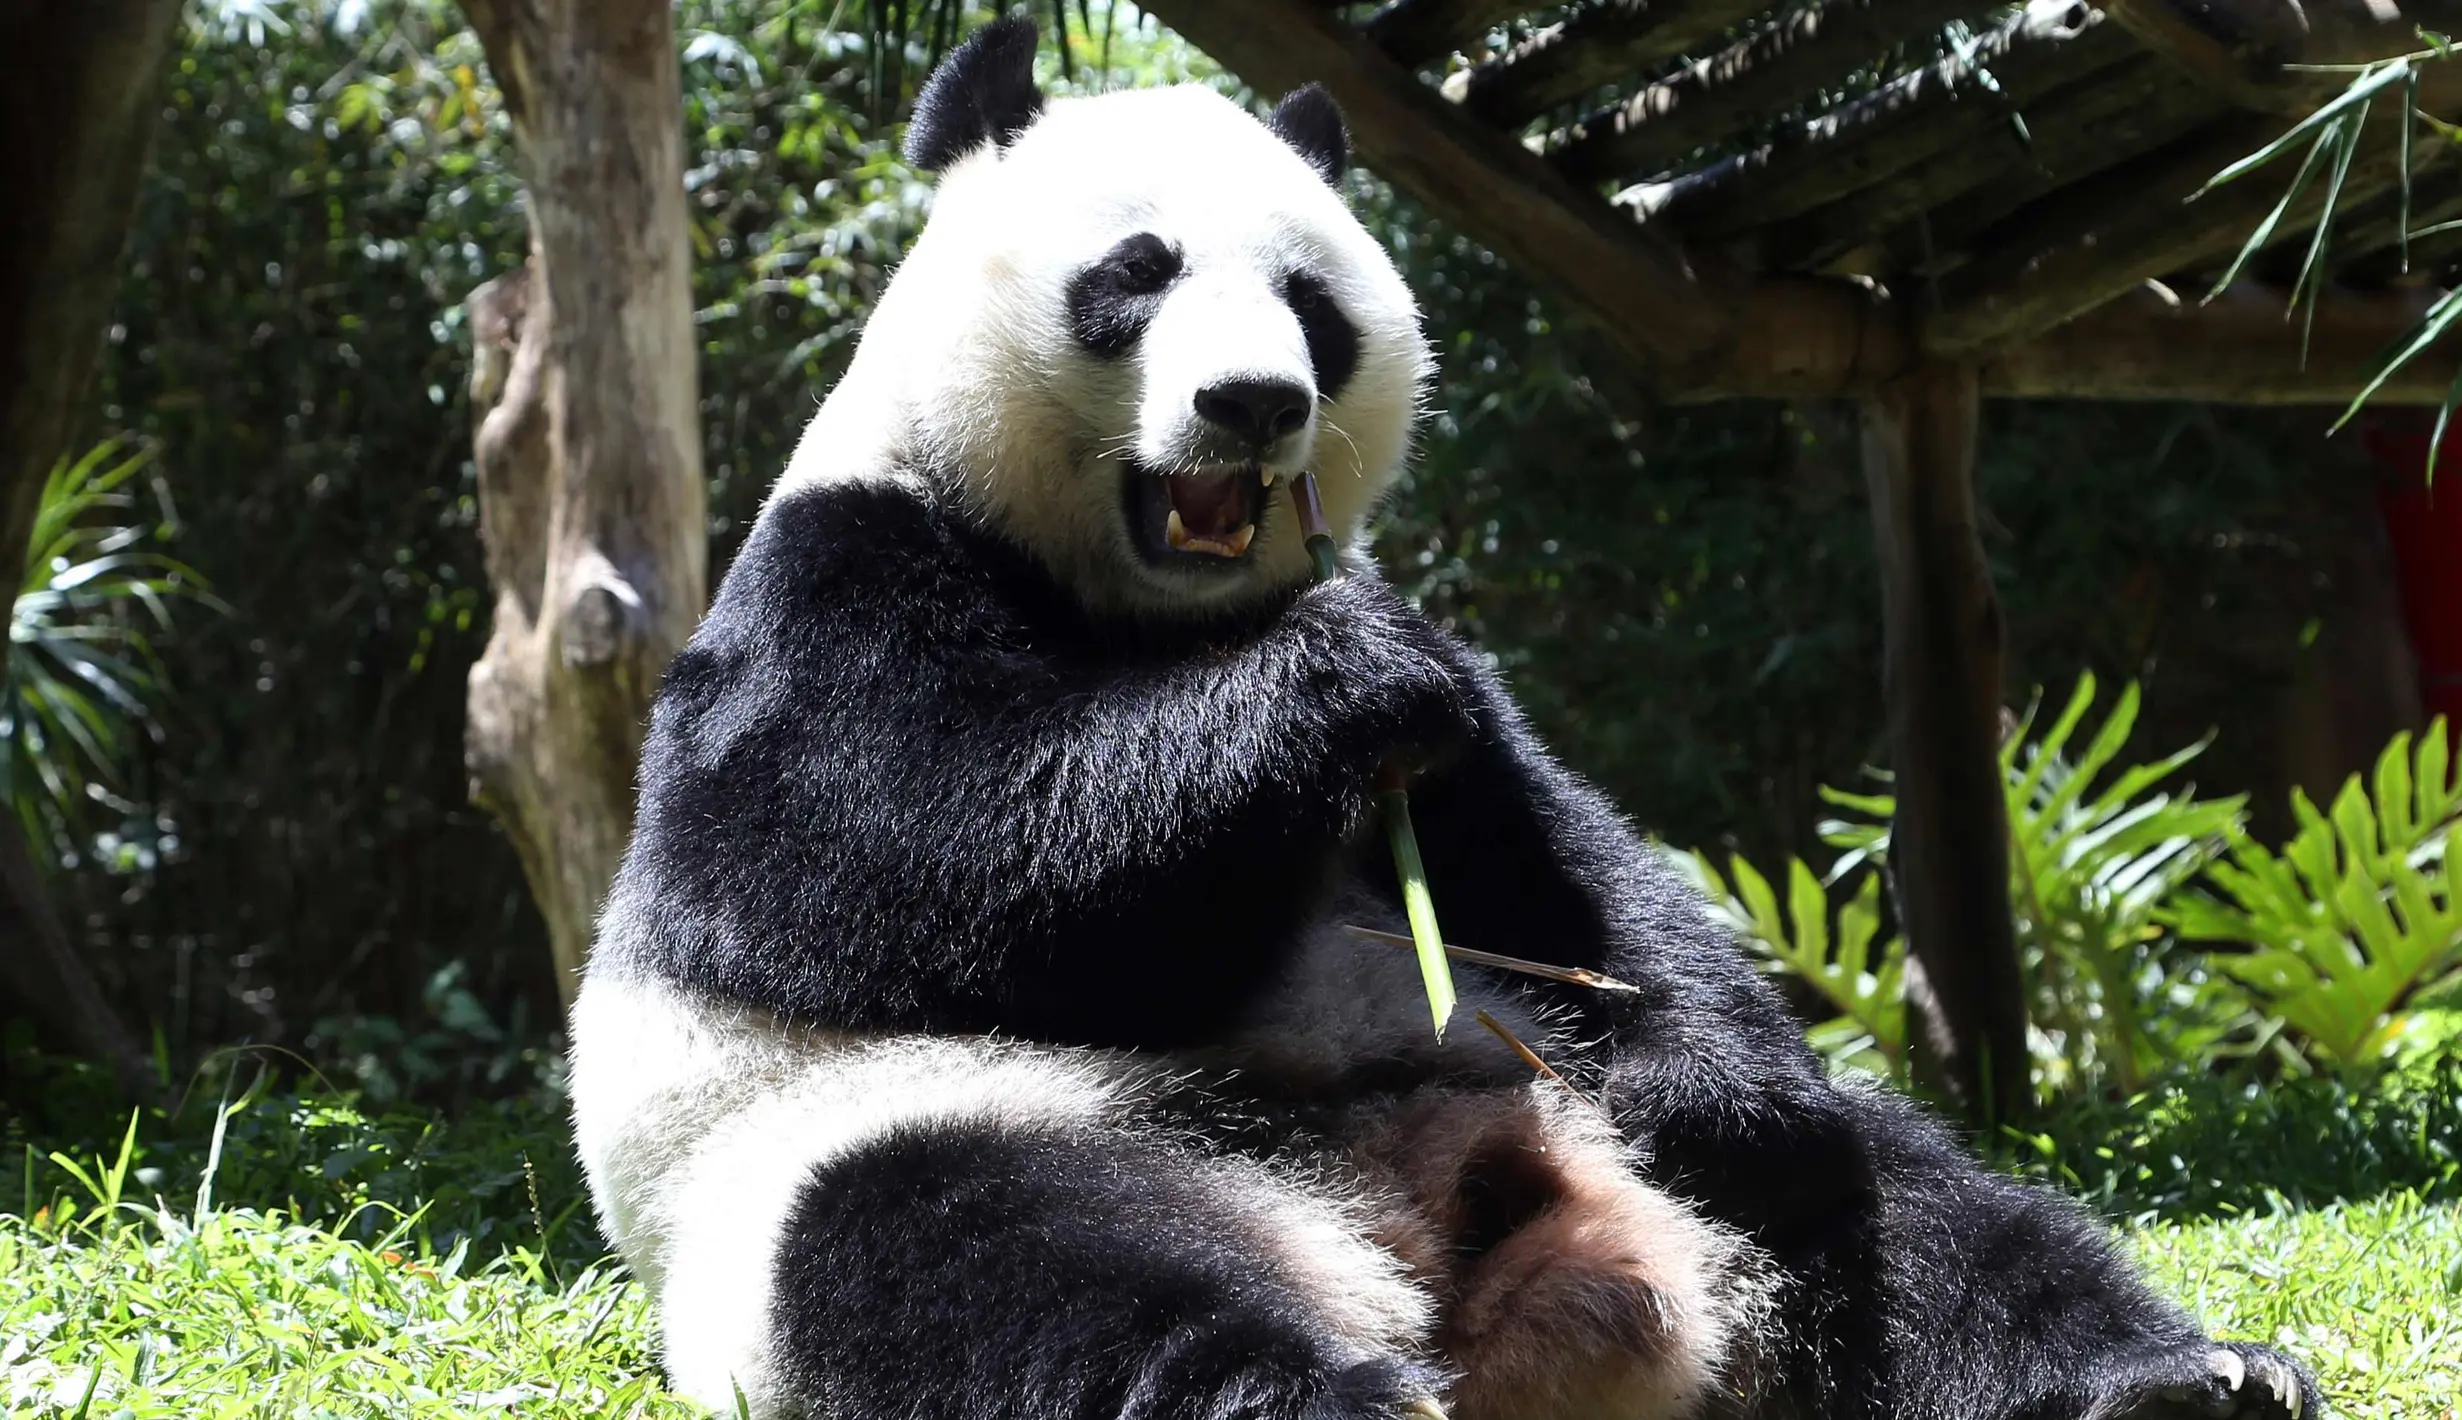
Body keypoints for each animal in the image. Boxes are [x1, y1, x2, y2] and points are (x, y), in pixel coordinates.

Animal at [569, 17, 2323, 1420]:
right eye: (1134, 277)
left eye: (1310, 305)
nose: (1252, 404)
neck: (1164, 614)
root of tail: (1418, 1248)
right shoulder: (831, 588)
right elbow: (906, 859)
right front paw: (1323, 687)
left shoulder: (1478, 727)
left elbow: (1573, 871)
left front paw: (1719, 1083)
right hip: (899, 1141)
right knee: (995, 1265)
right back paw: (1322, 1399)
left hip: (1581, 1105)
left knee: (1915, 1215)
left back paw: (2176, 1378)